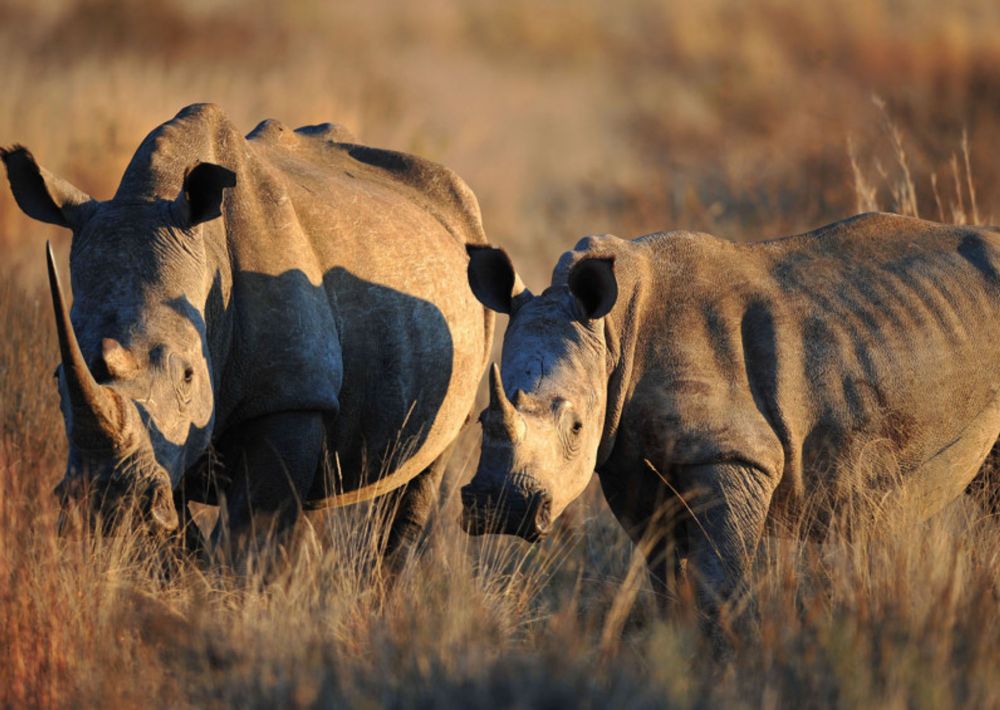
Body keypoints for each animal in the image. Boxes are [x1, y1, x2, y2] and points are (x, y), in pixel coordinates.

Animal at [3, 103, 492, 556]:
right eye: (57, 379)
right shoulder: (168, 446)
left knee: (419, 480)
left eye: (188, 376)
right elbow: (179, 549)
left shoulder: (288, 395)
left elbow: (245, 537)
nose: (107, 504)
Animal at [462, 213, 1000, 625]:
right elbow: (665, 573)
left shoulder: (732, 453)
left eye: (575, 428)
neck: (612, 335)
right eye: (482, 419)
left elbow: (718, 579)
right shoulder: (625, 460)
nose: (500, 508)